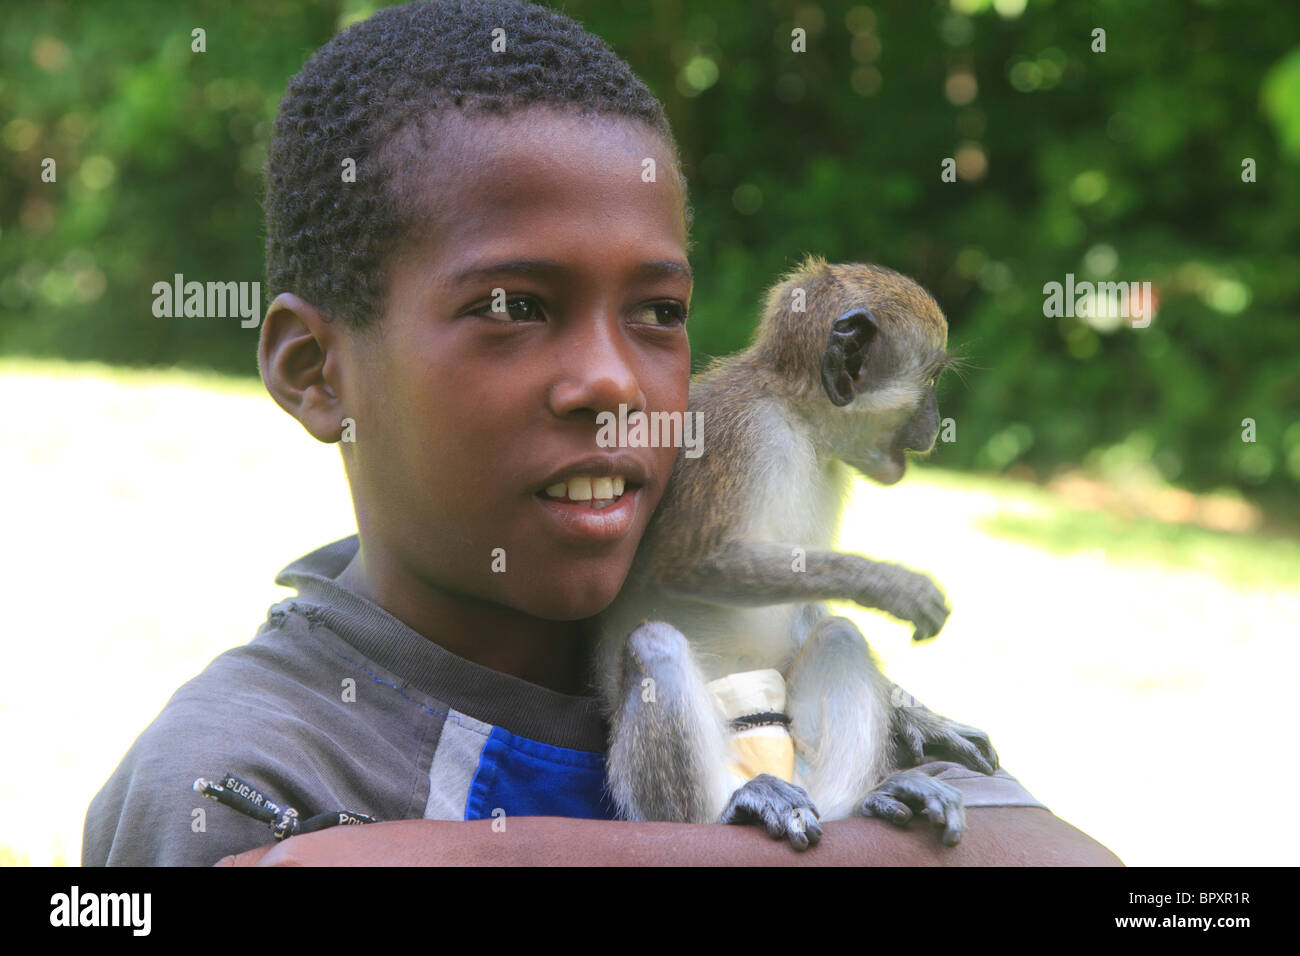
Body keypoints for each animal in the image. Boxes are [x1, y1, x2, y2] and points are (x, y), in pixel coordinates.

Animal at [594, 255, 999, 851]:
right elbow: (689, 565)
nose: (935, 421)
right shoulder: (740, 438)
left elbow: (810, 610)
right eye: (930, 381)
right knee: (656, 644)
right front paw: (890, 585)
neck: (799, 420)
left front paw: (918, 718)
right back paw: (727, 810)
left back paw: (862, 799)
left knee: (839, 637)